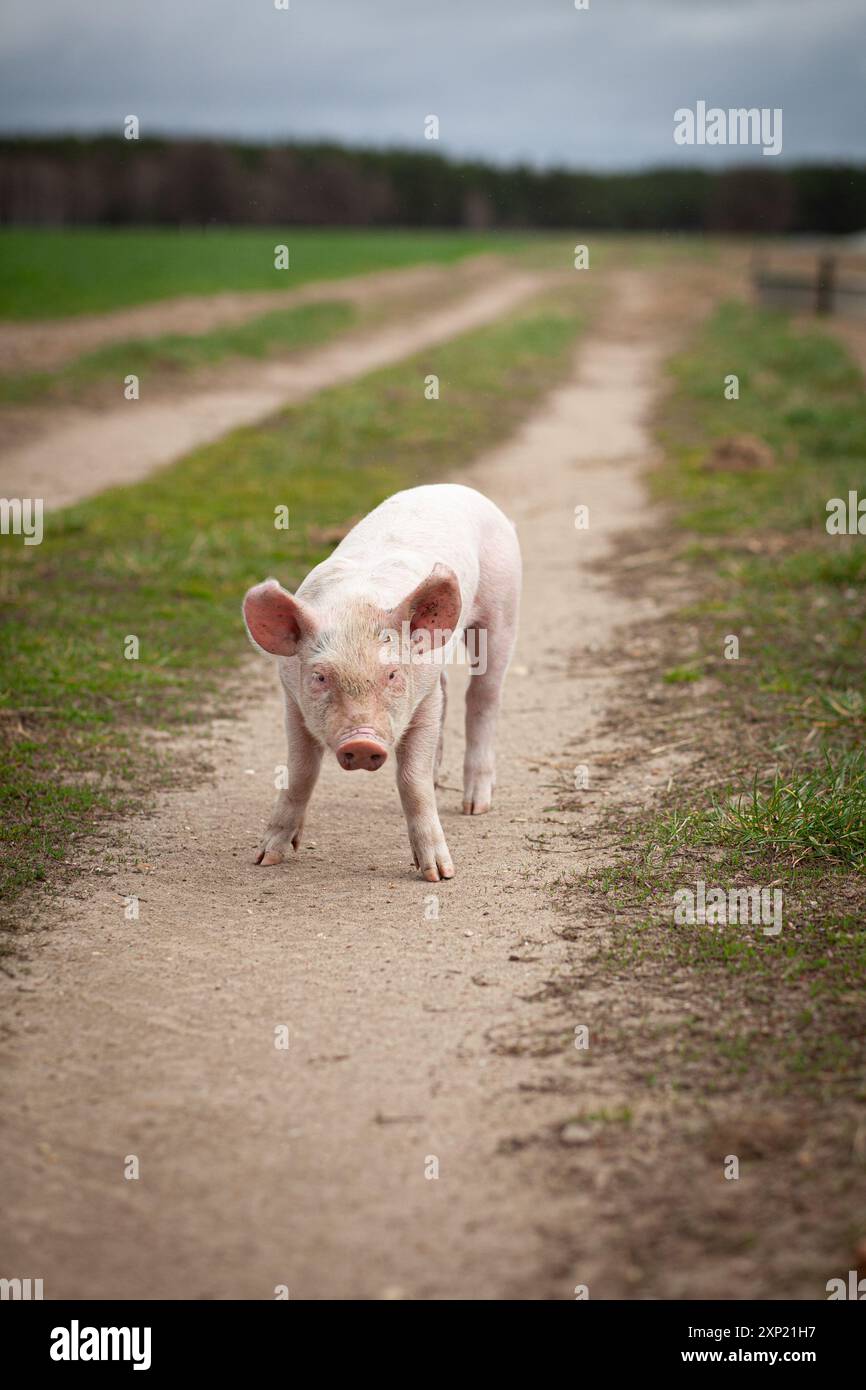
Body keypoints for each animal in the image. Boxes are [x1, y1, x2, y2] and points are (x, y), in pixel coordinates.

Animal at [242, 483, 521, 881]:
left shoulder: (423, 699)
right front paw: (267, 857)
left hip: (503, 609)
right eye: (320, 676)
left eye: (392, 674)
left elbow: (412, 780)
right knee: (451, 692)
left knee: (483, 697)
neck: (356, 605)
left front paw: (439, 874)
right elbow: (300, 773)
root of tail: (457, 489)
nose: (361, 742)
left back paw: (475, 806)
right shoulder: (292, 700)